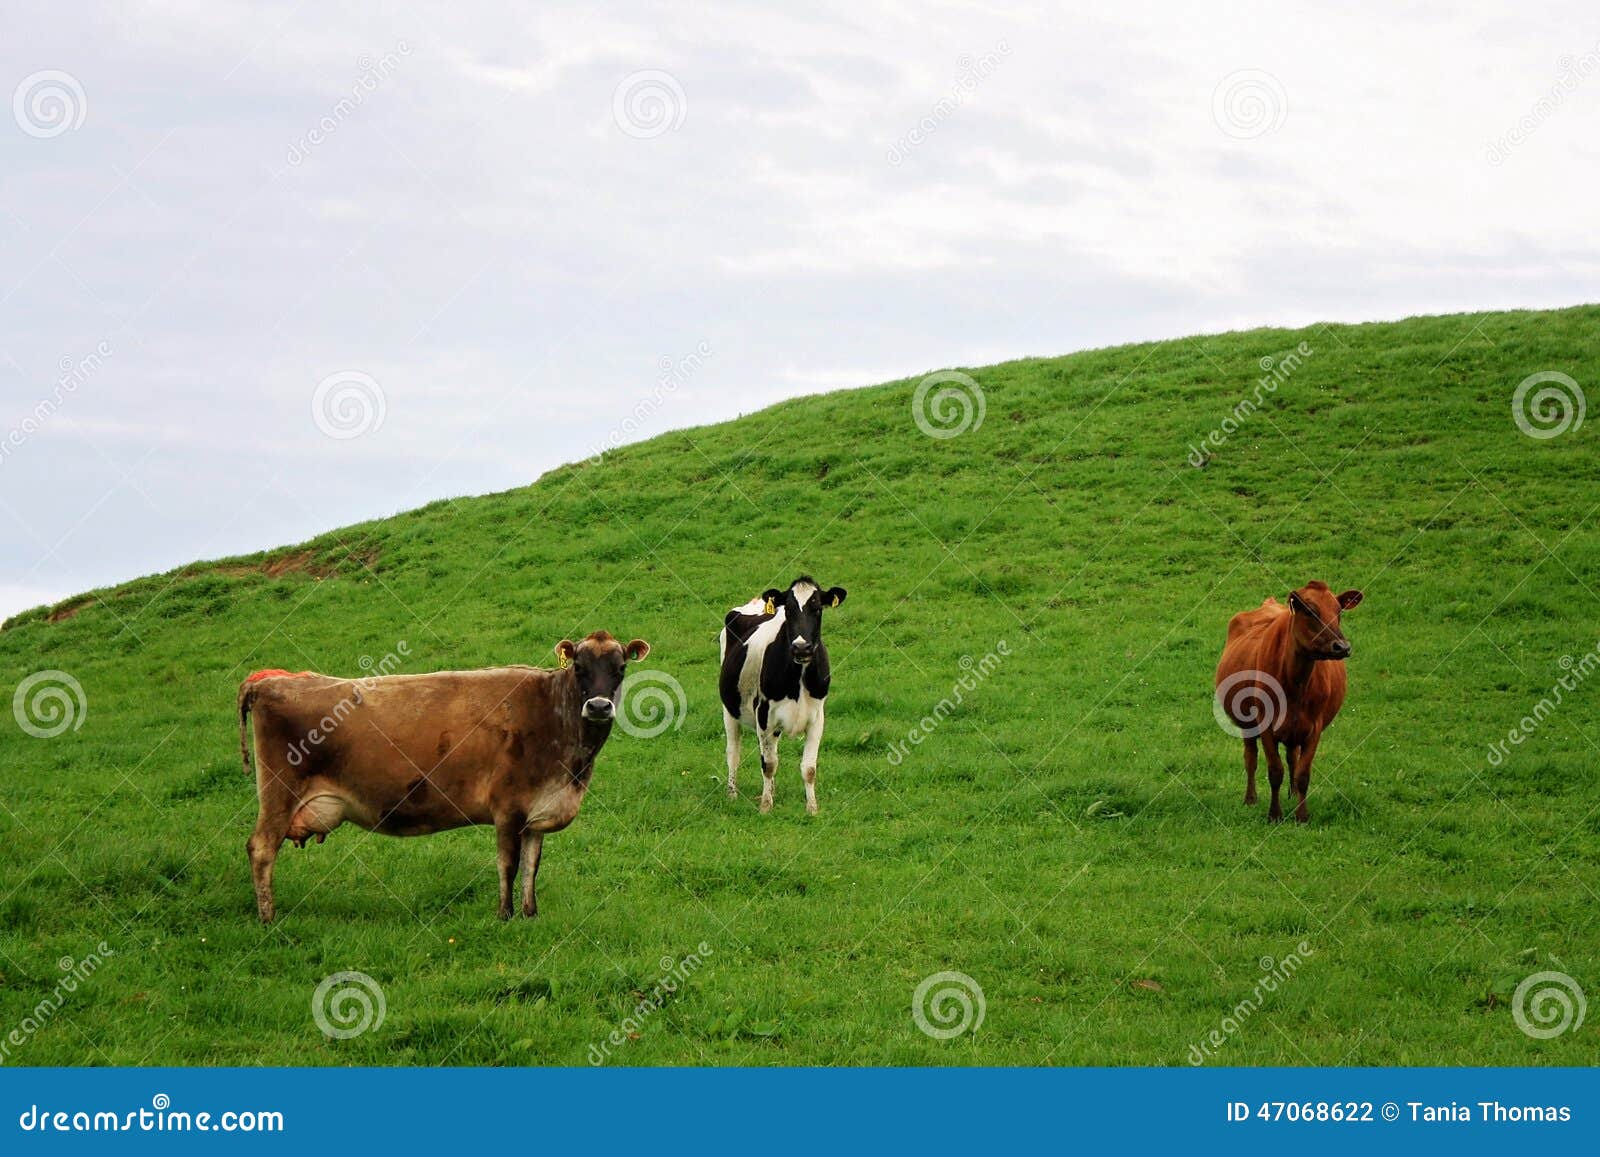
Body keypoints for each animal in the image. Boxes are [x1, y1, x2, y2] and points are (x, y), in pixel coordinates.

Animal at [237, 630, 650, 922]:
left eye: (621, 669)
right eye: (579, 668)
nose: (599, 706)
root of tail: (268, 681)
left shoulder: (538, 809)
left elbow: (532, 866)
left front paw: (530, 914)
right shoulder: (508, 807)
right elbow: (509, 864)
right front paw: (505, 916)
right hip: (279, 792)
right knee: (261, 848)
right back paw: (268, 918)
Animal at [719, 576, 847, 815]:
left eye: (818, 608)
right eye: (788, 609)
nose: (801, 647)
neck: (798, 678)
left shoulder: (817, 718)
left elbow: (809, 768)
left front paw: (812, 809)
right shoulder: (764, 714)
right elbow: (768, 765)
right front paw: (765, 806)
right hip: (729, 710)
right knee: (733, 753)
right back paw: (732, 794)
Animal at [1214, 581, 1362, 823]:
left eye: (1338, 611)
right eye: (1310, 611)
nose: (1342, 646)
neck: (1295, 683)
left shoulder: (1315, 728)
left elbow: (1303, 773)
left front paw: (1302, 815)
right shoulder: (1265, 726)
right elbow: (1275, 771)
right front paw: (1274, 814)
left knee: (1292, 757)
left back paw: (1292, 795)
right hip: (1247, 725)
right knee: (1251, 758)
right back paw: (1250, 798)